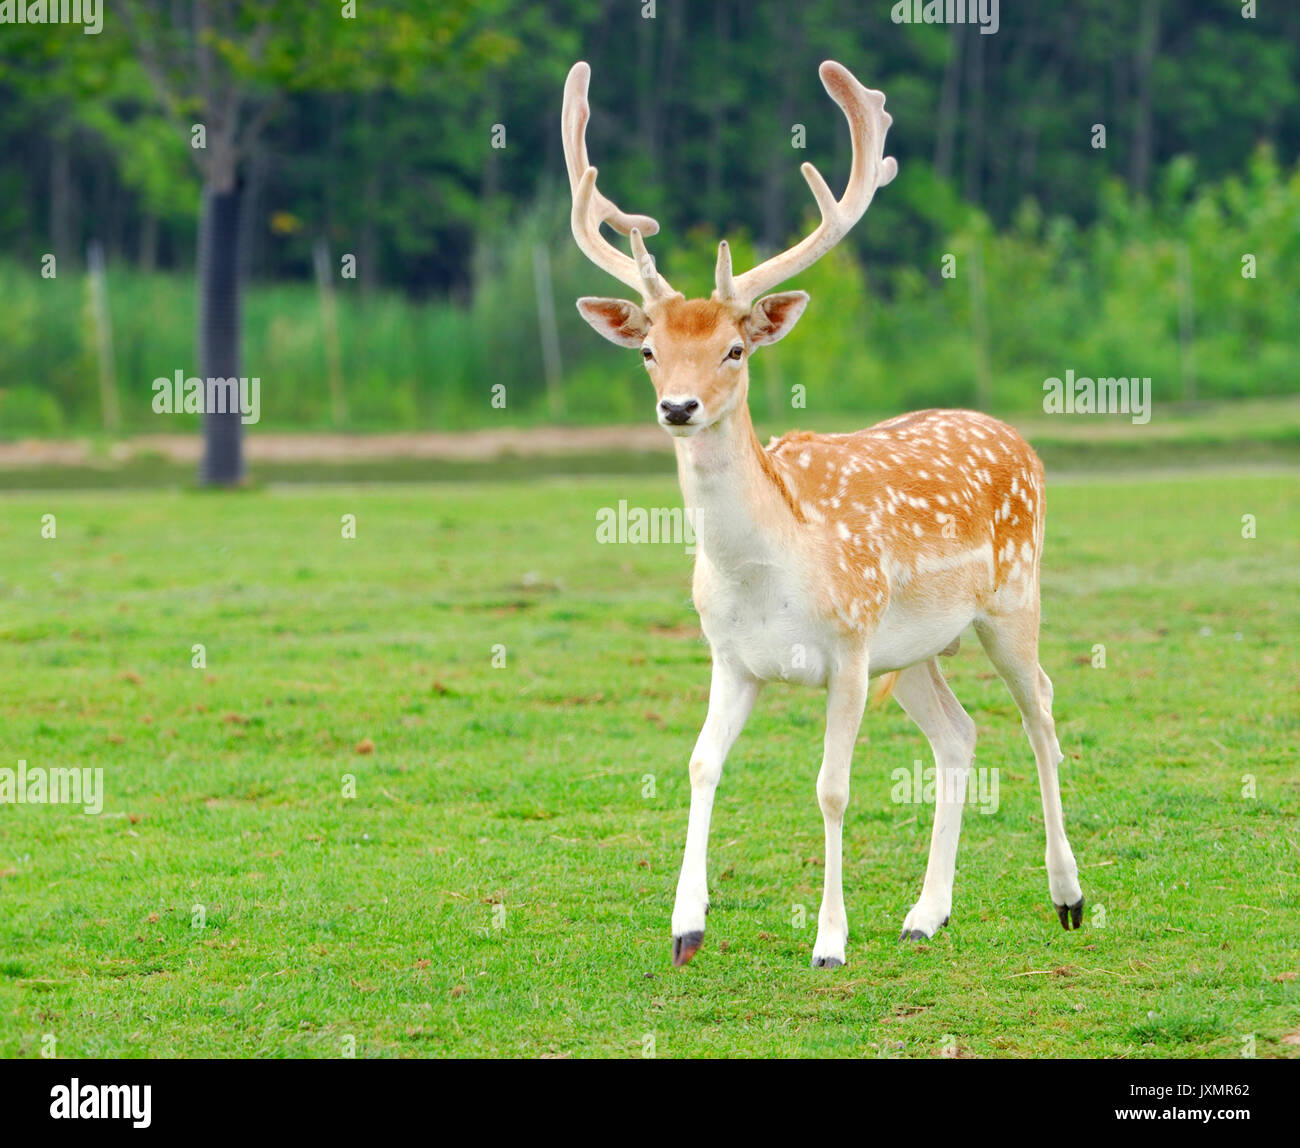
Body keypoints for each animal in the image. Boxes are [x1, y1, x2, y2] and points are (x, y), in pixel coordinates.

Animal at [562, 59, 1084, 969]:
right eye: (649, 349)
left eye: (735, 348)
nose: (678, 406)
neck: (769, 572)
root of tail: (1019, 439)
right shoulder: (732, 658)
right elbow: (700, 765)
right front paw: (686, 926)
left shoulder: (847, 646)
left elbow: (833, 788)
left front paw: (830, 940)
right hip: (917, 648)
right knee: (960, 735)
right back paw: (925, 913)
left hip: (1011, 601)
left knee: (1042, 712)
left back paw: (1068, 897)